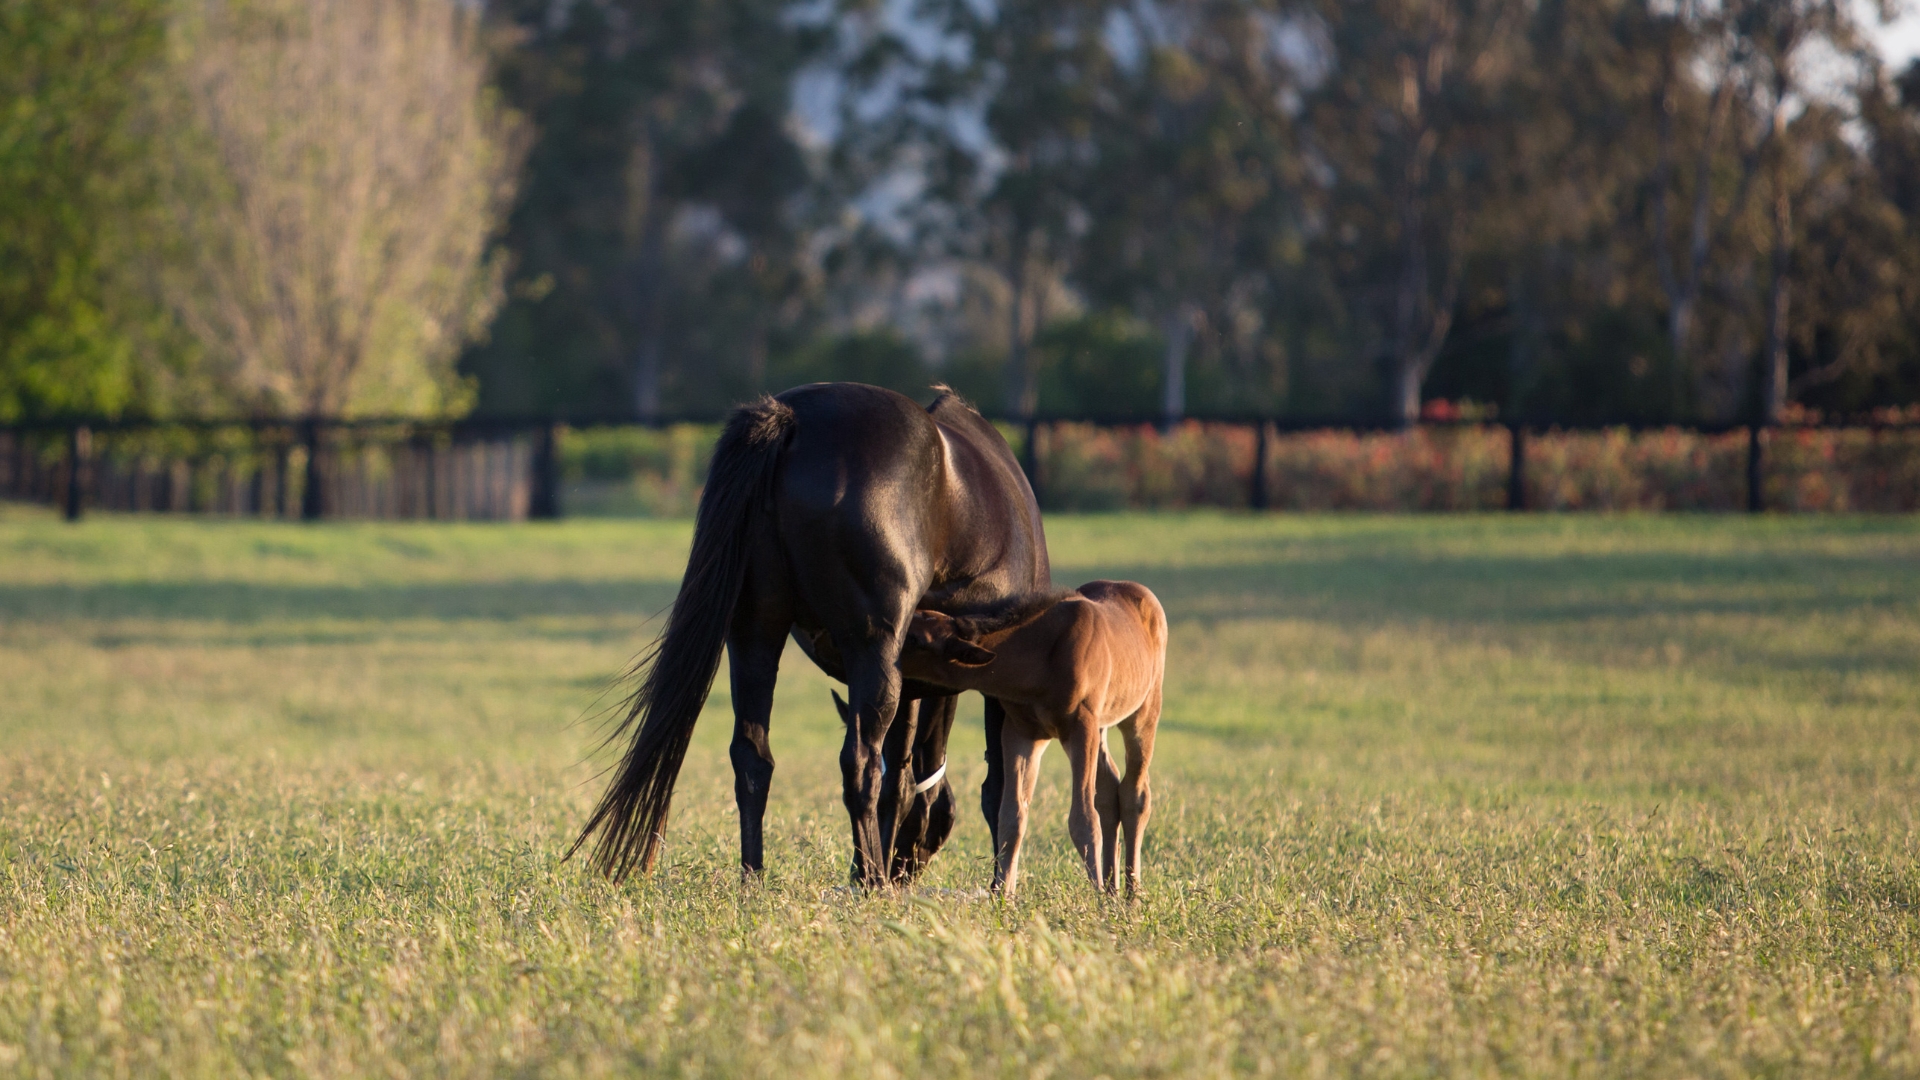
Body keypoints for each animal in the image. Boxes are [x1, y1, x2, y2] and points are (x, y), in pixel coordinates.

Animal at [570, 383, 1050, 886]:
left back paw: (757, 878)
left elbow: (900, 777)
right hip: (870, 650)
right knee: (859, 763)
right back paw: (870, 881)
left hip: (755, 635)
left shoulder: (915, 668)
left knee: (753, 758)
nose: (905, 869)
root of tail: (793, 416)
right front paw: (998, 885)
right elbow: (998, 786)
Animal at [898, 581, 1166, 897]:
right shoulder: (1022, 732)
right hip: (1101, 726)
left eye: (915, 639)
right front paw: (1003, 895)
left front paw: (1097, 896)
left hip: (1142, 712)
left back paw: (1131, 895)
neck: (1039, 659)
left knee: (1135, 793)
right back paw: (1114, 892)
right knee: (1109, 790)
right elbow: (1012, 817)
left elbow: (1083, 819)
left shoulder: (1081, 725)